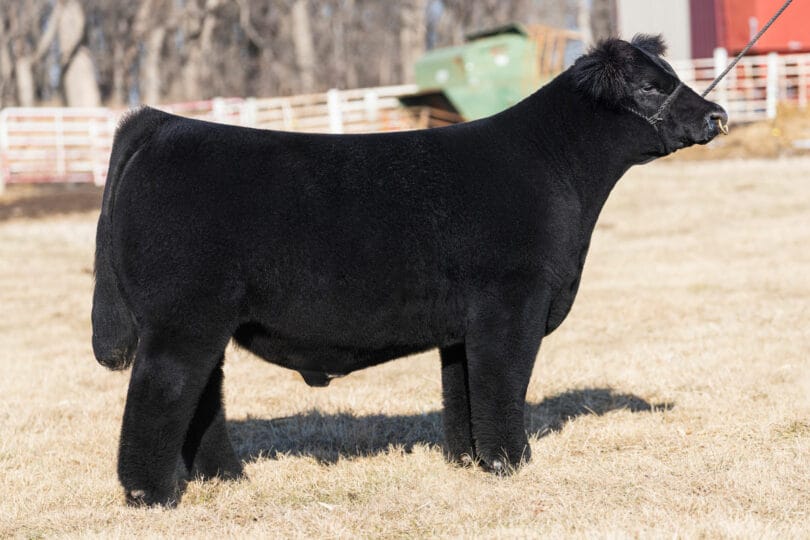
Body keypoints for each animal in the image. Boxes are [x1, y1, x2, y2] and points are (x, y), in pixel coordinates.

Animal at [92, 34, 727, 506]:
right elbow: (503, 385)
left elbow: (462, 392)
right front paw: (512, 462)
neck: (556, 167)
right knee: (159, 395)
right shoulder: (513, 304)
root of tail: (163, 123)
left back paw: (227, 479)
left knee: (202, 398)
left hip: (206, 324)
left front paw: (470, 460)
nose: (717, 114)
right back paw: (152, 496)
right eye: (651, 86)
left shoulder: (465, 326)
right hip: (182, 321)